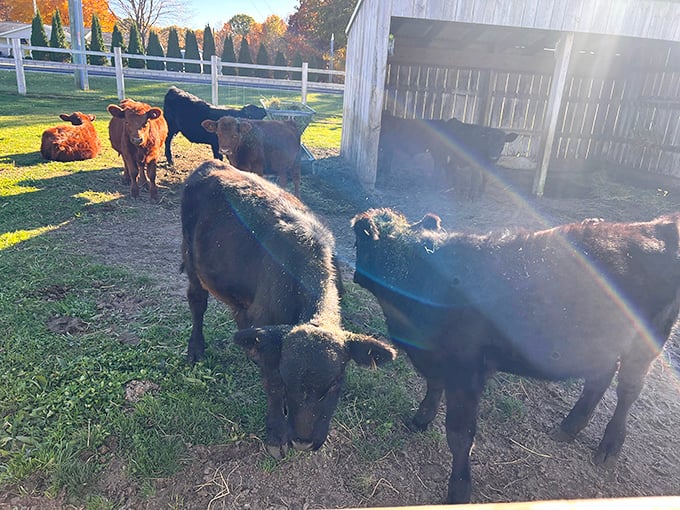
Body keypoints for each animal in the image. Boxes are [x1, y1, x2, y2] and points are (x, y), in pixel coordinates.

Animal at [181, 160, 396, 459]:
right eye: (287, 380)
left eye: (336, 383)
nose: (304, 442)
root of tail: (212, 163)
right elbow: (271, 386)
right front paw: (276, 434)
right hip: (192, 262)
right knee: (197, 302)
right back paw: (196, 349)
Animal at [352, 208, 680, 504]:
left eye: (358, 243)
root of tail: (658, 226)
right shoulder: (436, 359)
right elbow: (434, 386)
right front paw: (420, 420)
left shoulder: (466, 370)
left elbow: (459, 434)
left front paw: (459, 491)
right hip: (599, 342)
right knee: (600, 377)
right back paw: (569, 428)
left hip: (646, 341)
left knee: (628, 389)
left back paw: (609, 446)